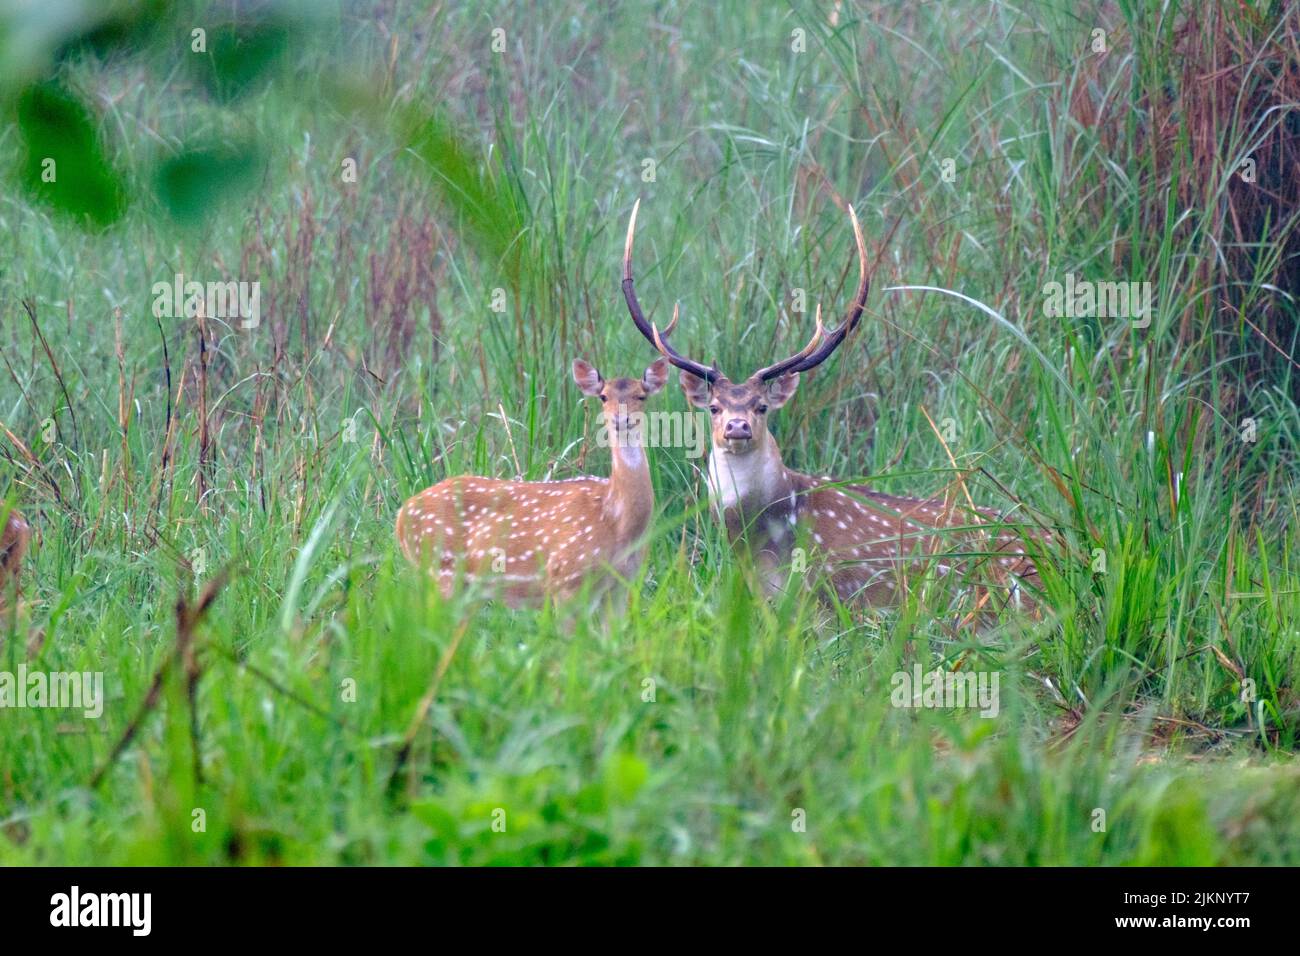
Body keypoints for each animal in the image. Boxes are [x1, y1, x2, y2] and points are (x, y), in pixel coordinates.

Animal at [395, 357, 670, 606]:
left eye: (641, 396)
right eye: (603, 396)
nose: (620, 419)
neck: (616, 519)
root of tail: (400, 516)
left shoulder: (621, 586)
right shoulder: (565, 579)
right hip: (440, 569)